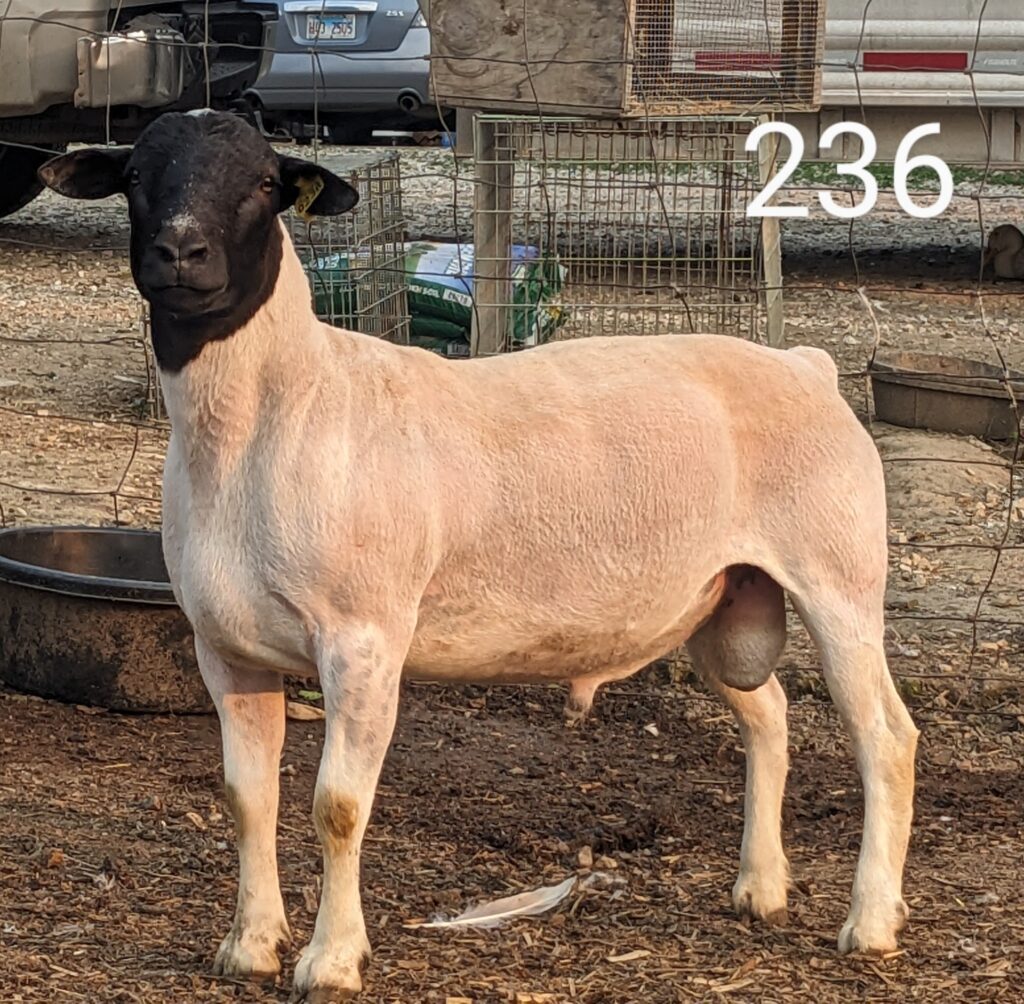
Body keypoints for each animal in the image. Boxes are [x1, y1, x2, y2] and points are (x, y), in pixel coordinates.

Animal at [39, 111, 919, 1003]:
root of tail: (806, 366)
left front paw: (333, 960)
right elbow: (246, 799)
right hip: (722, 598)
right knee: (768, 713)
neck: (276, 410)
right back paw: (760, 889)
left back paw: (872, 922)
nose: (181, 252)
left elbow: (337, 807)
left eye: (262, 183)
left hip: (839, 577)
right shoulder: (225, 648)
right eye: (136, 176)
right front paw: (250, 944)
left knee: (886, 738)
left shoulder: (363, 639)